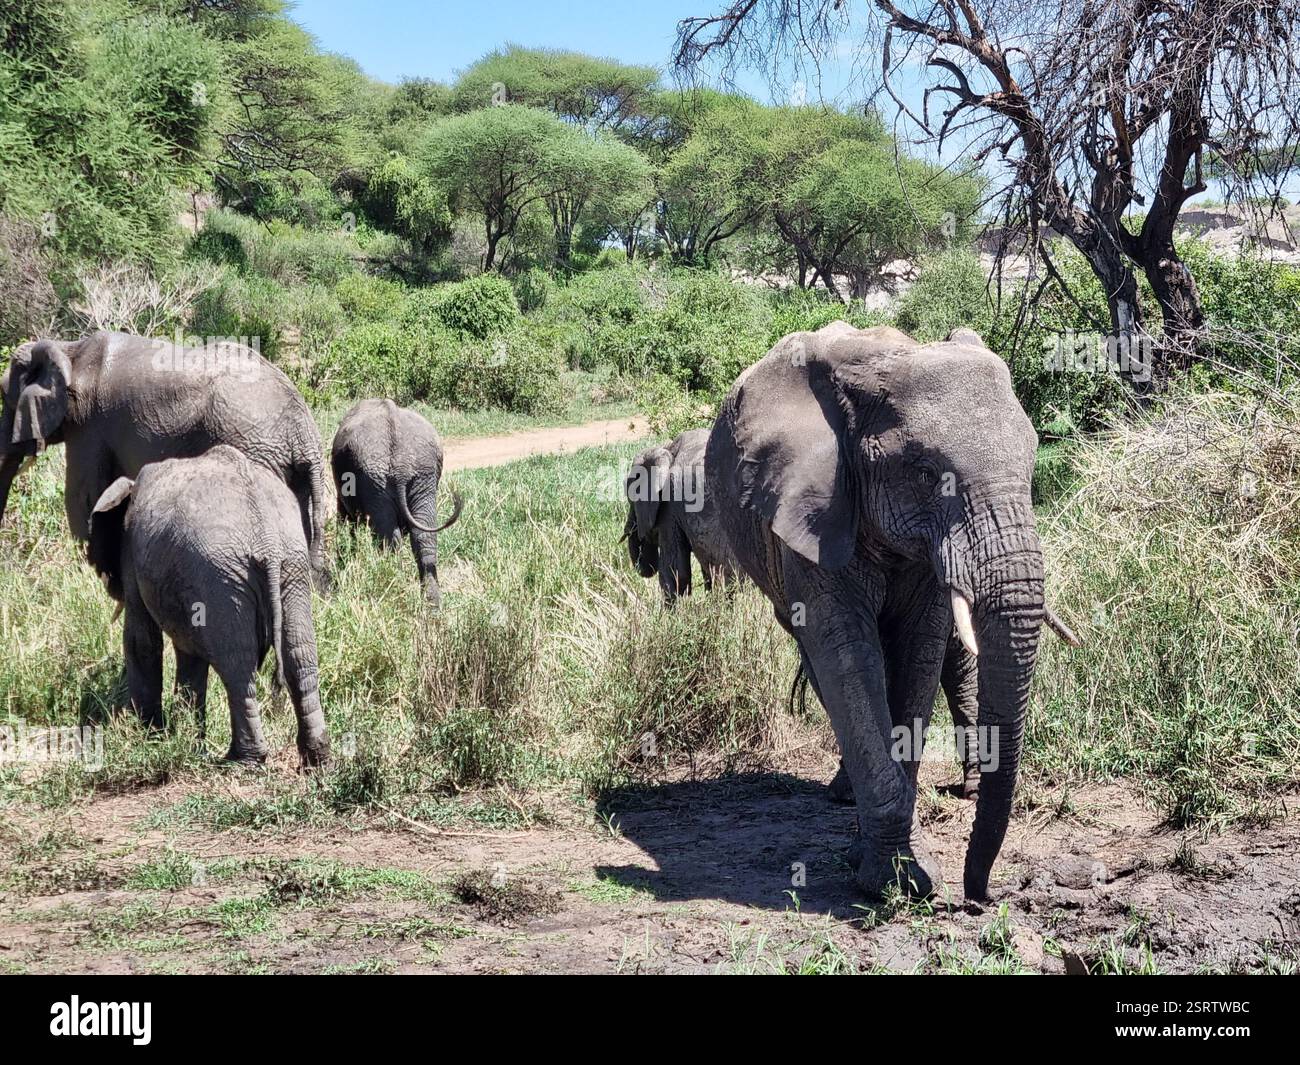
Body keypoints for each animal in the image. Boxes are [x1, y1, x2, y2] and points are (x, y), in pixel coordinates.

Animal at [0, 332, 329, 585]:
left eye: (5, 398)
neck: (70, 349)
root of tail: (303, 429)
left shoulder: (89, 424)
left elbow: (82, 496)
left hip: (252, 446)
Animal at [87, 446, 329, 767]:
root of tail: (266, 540)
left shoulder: (133, 553)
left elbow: (142, 641)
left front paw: (150, 735)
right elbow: (188, 650)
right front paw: (187, 737)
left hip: (222, 575)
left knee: (238, 664)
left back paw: (243, 761)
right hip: (292, 566)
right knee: (300, 656)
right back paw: (318, 759)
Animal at [330, 398, 463, 605]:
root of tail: (401, 466)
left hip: (377, 478)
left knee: (388, 540)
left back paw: (391, 589)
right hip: (420, 475)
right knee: (422, 537)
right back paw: (432, 605)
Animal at [707, 321, 1047, 901]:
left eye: (1031, 461)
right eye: (927, 474)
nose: (979, 896)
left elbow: (919, 654)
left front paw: (896, 868)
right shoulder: (814, 513)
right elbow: (846, 656)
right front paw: (895, 880)